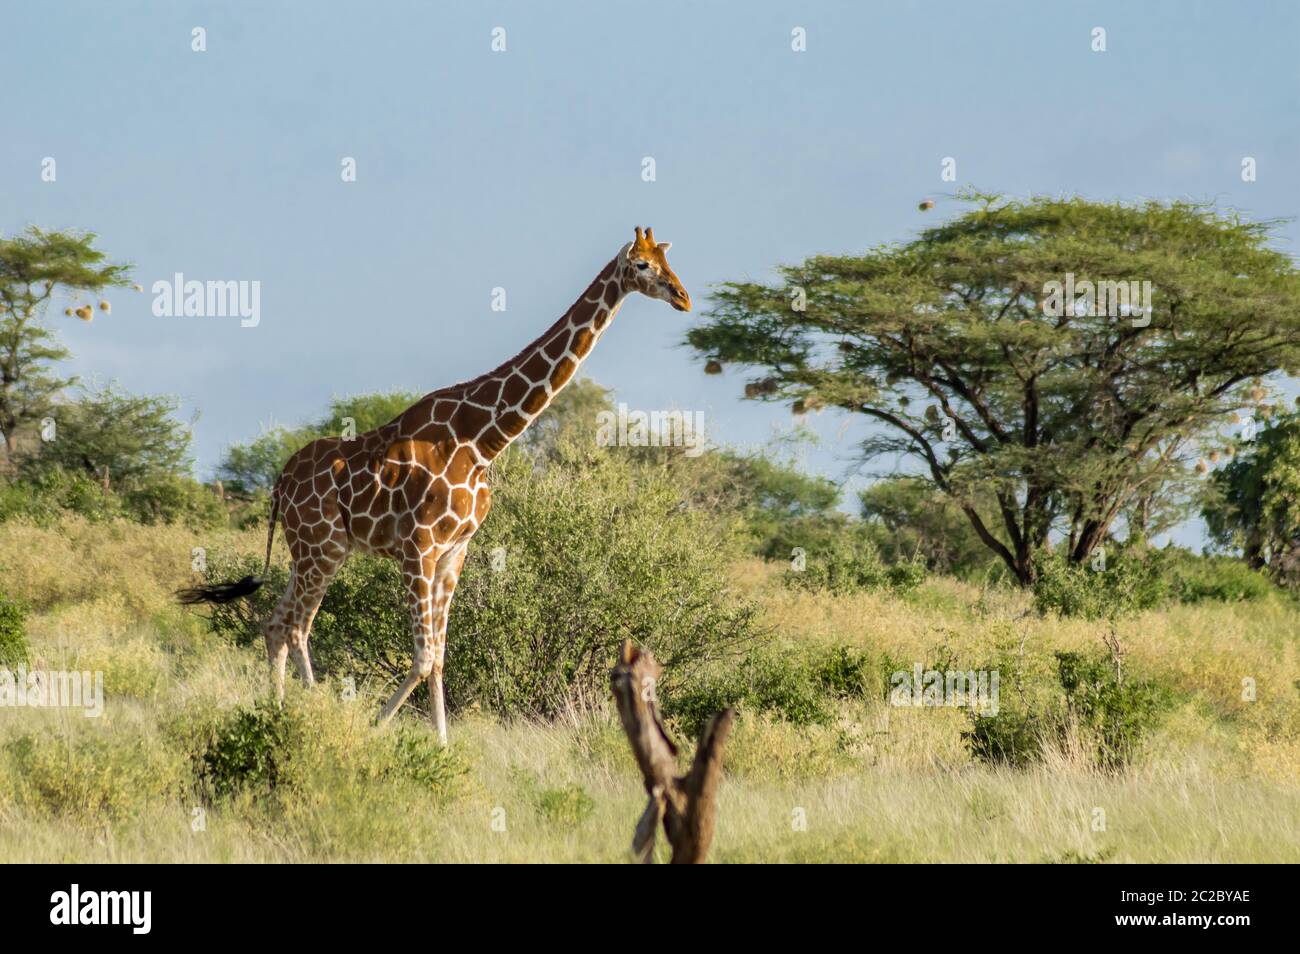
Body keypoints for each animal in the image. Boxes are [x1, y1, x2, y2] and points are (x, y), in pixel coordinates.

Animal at [179, 226, 691, 743]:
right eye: (643, 266)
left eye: (669, 261)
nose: (683, 298)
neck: (484, 440)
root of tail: (279, 483)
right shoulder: (418, 548)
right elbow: (424, 657)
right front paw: (376, 727)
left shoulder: (453, 552)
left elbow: (441, 658)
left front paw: (441, 745)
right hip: (322, 547)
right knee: (298, 627)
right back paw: (309, 713)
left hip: (314, 550)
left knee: (275, 623)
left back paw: (279, 710)